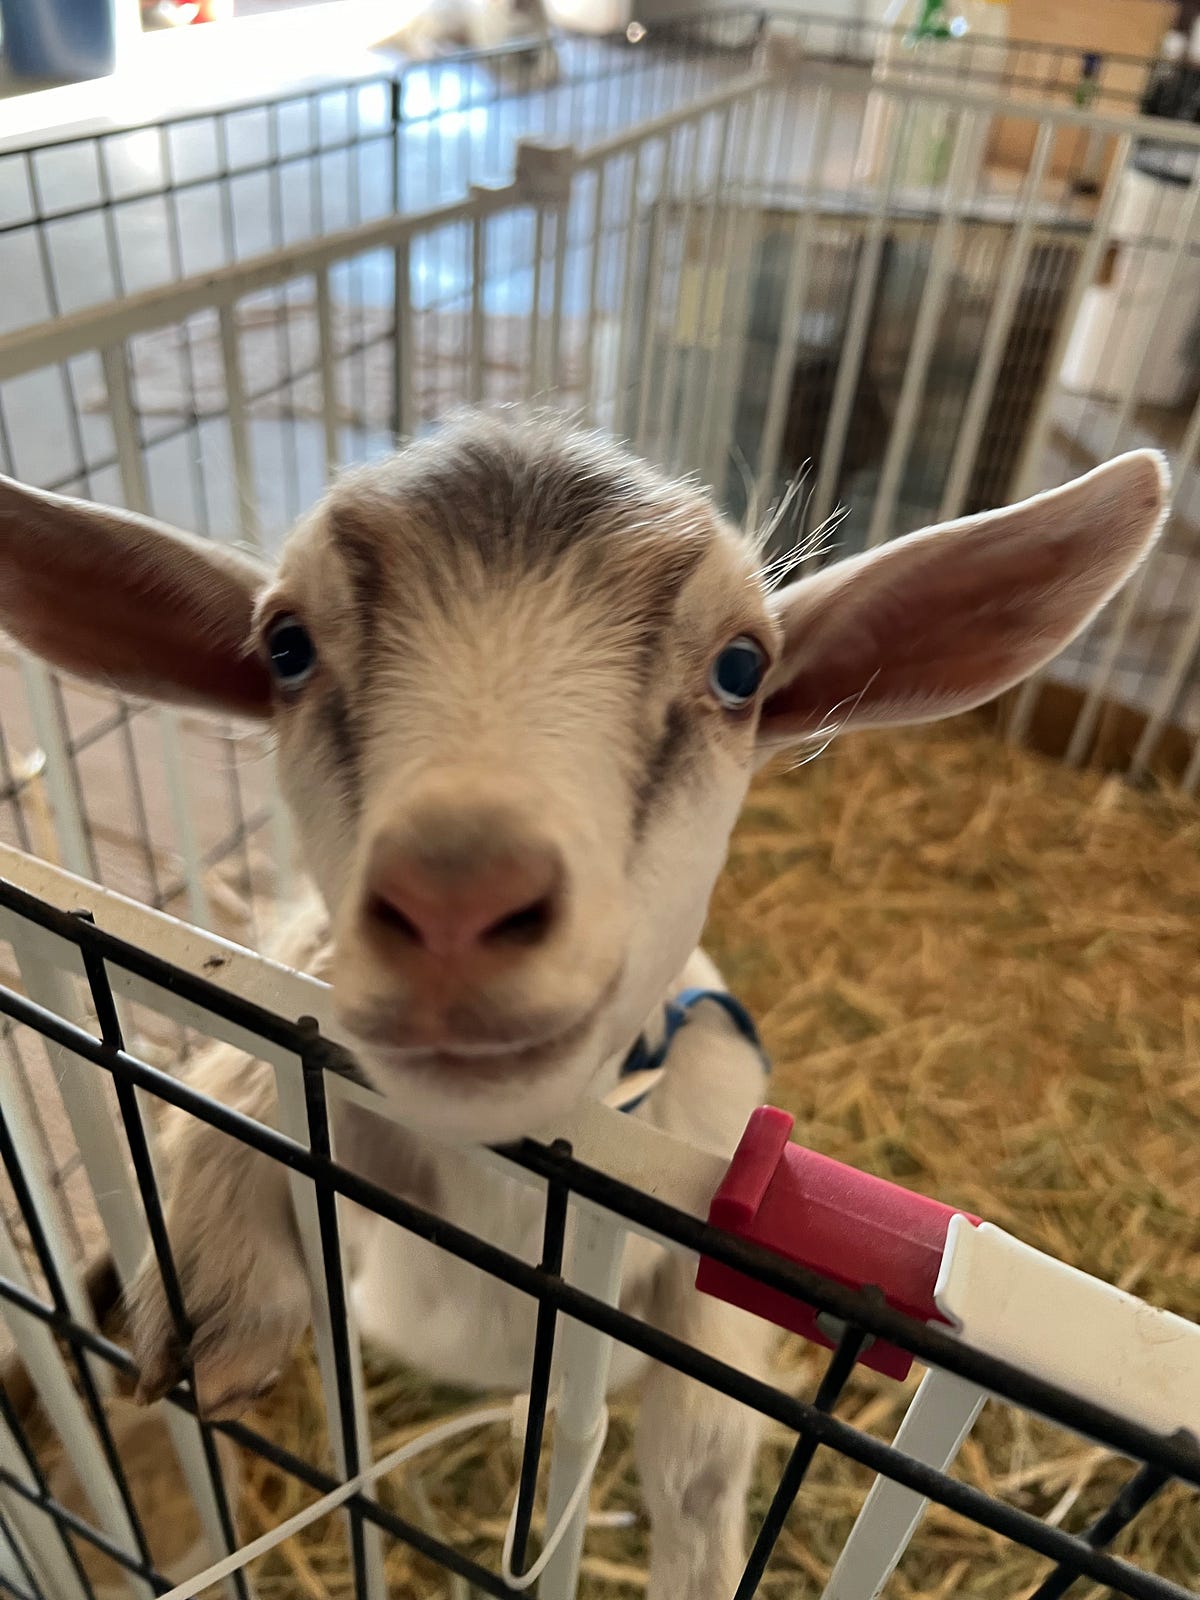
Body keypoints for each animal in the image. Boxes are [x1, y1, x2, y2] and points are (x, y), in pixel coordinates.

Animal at [0, 411, 1167, 1597]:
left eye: (741, 666)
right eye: (286, 648)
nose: (457, 891)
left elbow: (699, 1462)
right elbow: (247, 1045)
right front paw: (216, 1279)